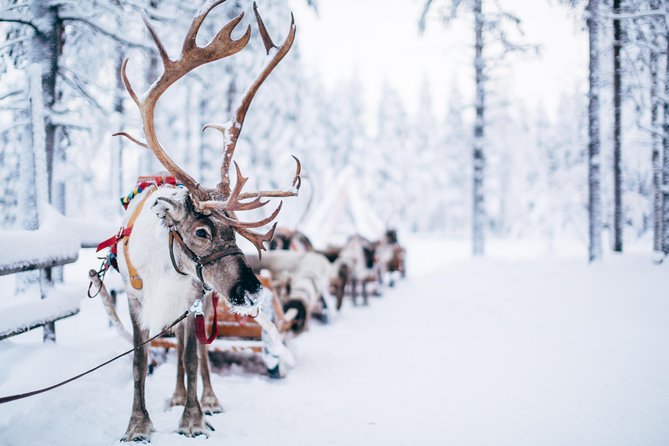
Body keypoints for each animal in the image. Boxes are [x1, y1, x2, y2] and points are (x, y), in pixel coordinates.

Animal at [105, 0, 299, 441]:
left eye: (236, 235)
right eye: (201, 231)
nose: (252, 291)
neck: (165, 268)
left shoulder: (193, 298)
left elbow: (194, 357)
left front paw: (193, 419)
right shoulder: (136, 302)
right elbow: (140, 361)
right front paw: (138, 424)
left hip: (207, 299)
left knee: (195, 352)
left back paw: (204, 399)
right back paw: (176, 396)